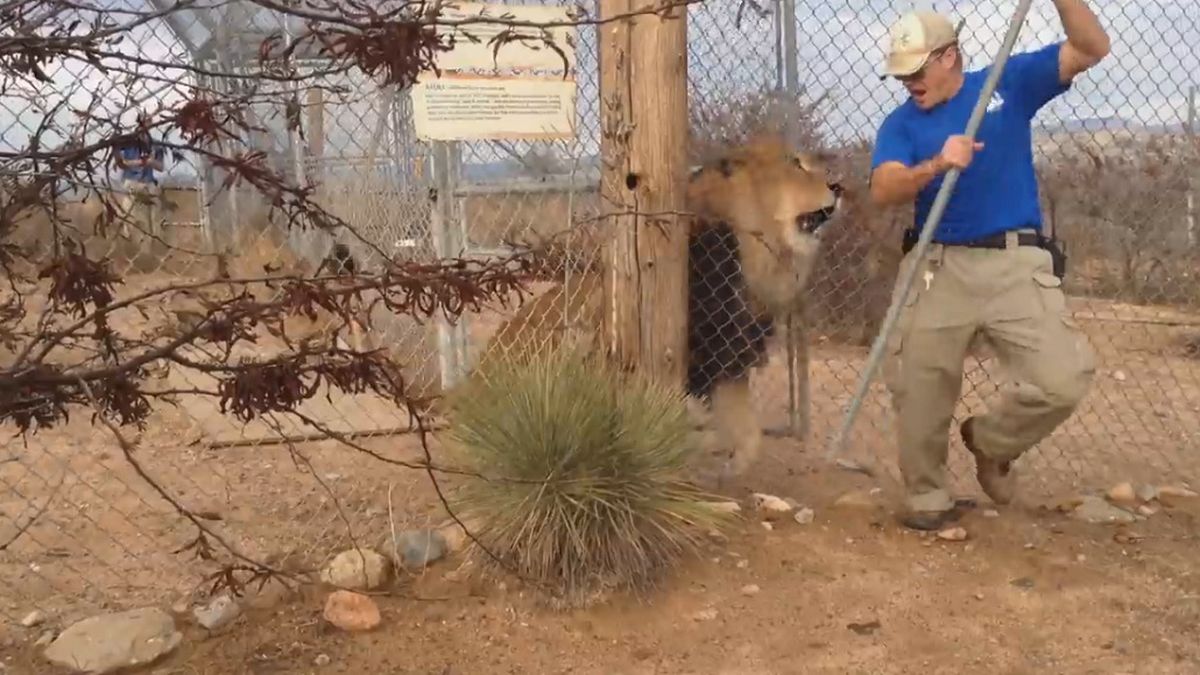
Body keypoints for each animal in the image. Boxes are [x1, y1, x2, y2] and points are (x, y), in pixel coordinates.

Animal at [470, 135, 845, 480]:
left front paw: (727, 468)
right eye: (795, 164)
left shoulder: (728, 363)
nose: (839, 186)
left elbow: (750, 438)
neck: (754, 254)